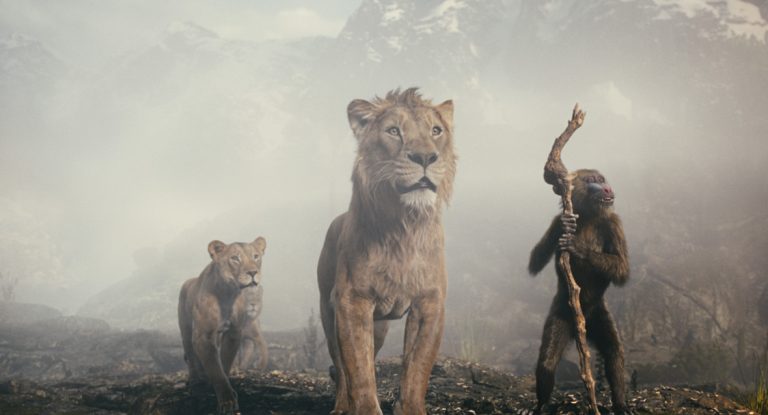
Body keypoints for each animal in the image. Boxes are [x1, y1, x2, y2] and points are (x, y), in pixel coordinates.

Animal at [178, 237, 267, 415]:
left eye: (256, 256)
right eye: (235, 258)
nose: (253, 273)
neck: (228, 294)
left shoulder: (233, 333)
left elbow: (223, 364)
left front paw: (228, 392)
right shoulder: (203, 336)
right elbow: (215, 369)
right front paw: (227, 402)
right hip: (186, 329)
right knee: (190, 354)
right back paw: (196, 381)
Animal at [317, 88, 456, 415]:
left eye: (436, 130)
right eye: (394, 131)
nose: (425, 157)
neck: (404, 226)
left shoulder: (430, 303)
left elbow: (417, 368)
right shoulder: (352, 301)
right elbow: (359, 370)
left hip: (378, 326)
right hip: (329, 311)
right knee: (341, 366)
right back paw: (341, 406)